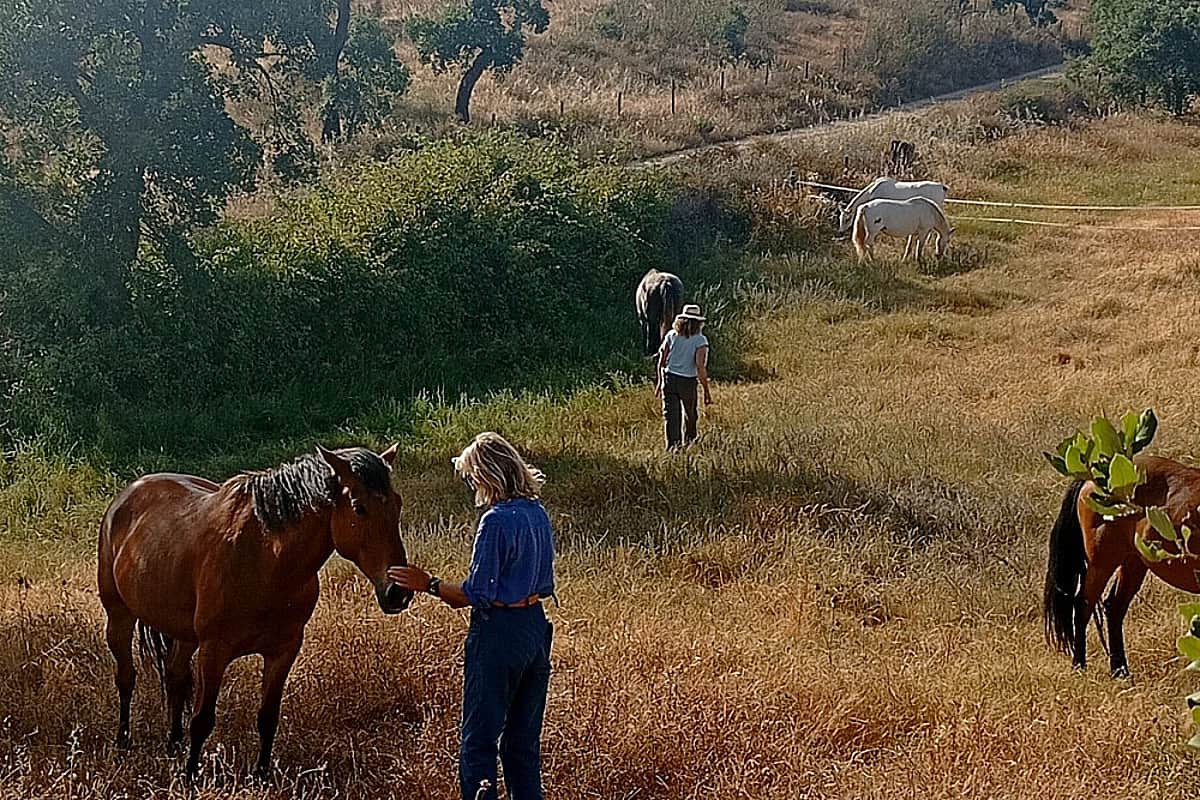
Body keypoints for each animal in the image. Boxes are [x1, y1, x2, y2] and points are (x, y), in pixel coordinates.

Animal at [98, 444, 413, 781]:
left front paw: (261, 774)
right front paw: (191, 776)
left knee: (175, 676)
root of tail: (129, 493)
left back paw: (173, 743)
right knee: (126, 678)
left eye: (397, 504)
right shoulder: (214, 650)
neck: (266, 558)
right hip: (119, 616)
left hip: (185, 635)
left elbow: (267, 717)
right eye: (358, 507)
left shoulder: (283, 651)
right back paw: (123, 743)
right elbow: (202, 719)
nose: (398, 592)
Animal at [1044, 456, 1200, 678]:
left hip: (1133, 561)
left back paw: (1119, 670)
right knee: (1084, 605)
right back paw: (1079, 665)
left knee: (1114, 606)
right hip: (1102, 562)